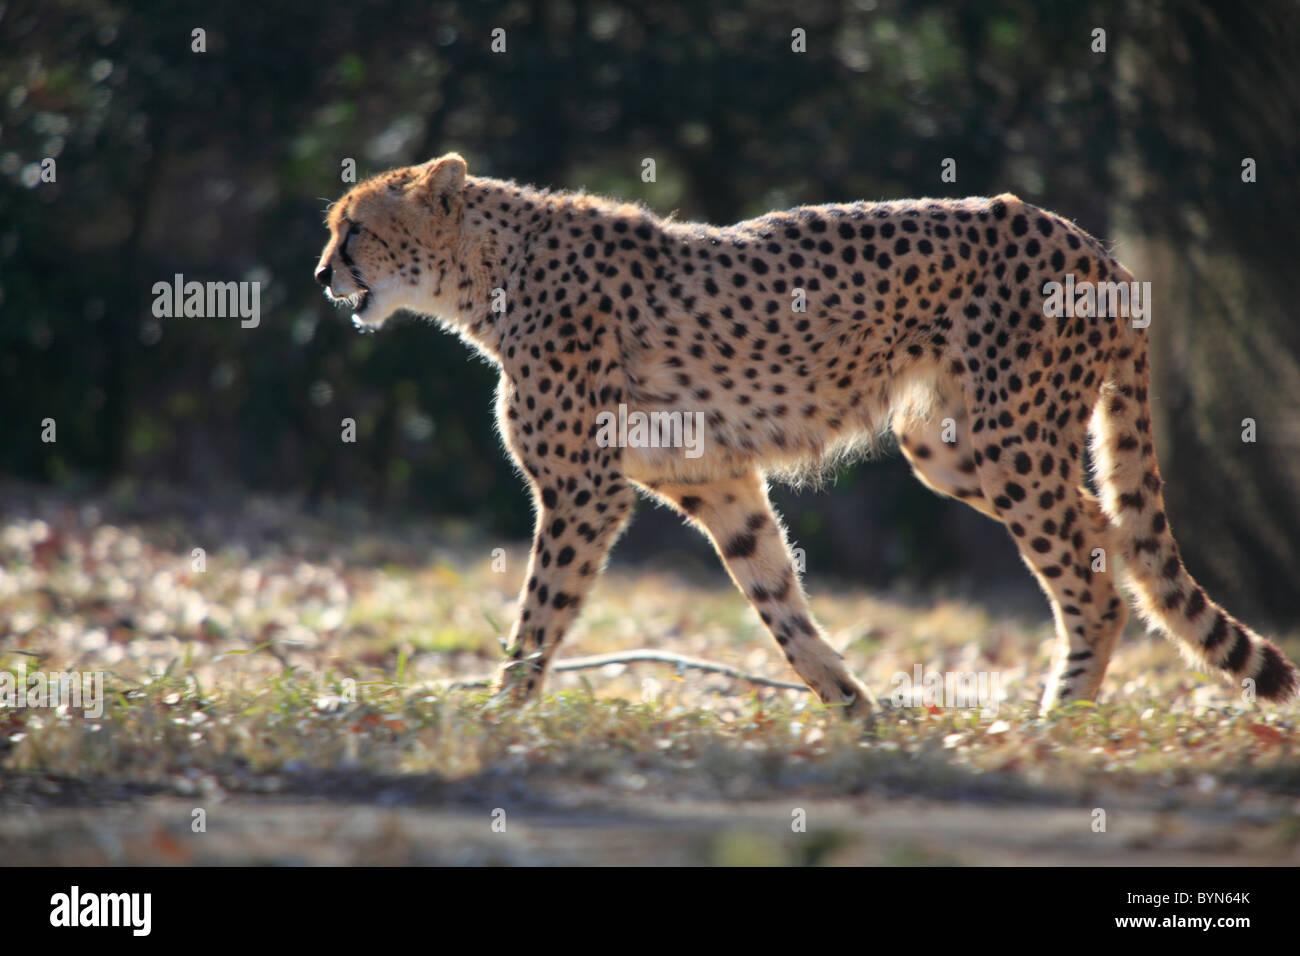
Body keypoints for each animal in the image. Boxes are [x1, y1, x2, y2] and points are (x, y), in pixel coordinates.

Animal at [315, 152, 1297, 719]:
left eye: (354, 228)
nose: (323, 274)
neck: (486, 275)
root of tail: (1093, 245)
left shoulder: (585, 491)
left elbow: (540, 613)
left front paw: (501, 717)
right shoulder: (716, 482)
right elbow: (776, 597)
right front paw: (856, 709)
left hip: (1010, 442)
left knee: (1095, 573)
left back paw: (1060, 727)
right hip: (946, 446)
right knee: (1111, 535)